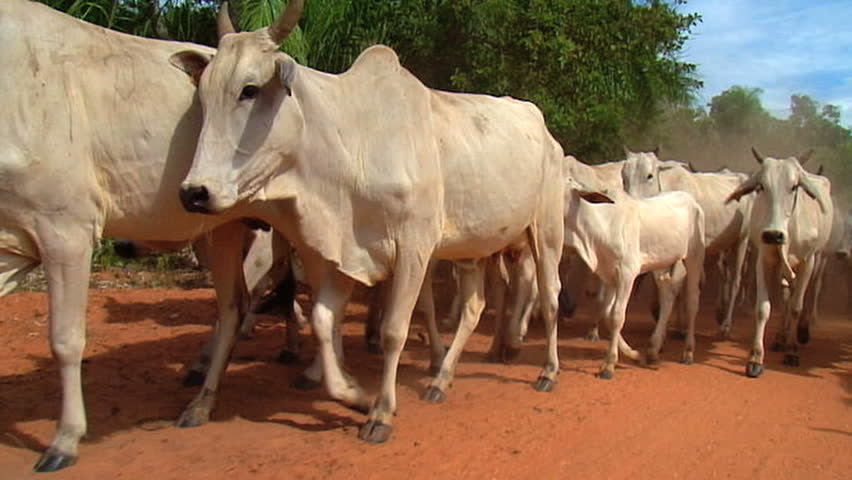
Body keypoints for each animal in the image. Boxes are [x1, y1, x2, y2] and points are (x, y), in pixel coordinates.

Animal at [0, 0, 277, 471]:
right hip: (215, 229)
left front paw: (65, 439)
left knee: (240, 302)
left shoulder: (66, 230)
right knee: (233, 304)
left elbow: (66, 340)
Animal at [168, 0, 565, 444]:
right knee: (474, 306)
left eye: (249, 89)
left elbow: (393, 330)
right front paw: (355, 395)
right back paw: (441, 379)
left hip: (546, 232)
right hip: (474, 249)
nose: (194, 192)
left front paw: (381, 412)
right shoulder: (346, 253)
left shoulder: (413, 249)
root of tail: (547, 133)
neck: (352, 142)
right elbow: (324, 321)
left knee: (550, 296)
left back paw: (548, 372)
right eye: (202, 94)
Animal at [562, 160, 705, 378]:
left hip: (694, 257)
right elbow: (607, 313)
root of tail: (690, 199)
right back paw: (653, 349)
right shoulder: (608, 274)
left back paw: (688, 351)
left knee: (692, 301)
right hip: (660, 264)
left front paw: (609, 365)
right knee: (667, 296)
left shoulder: (627, 274)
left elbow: (617, 316)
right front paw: (634, 354)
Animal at [621, 149, 752, 339]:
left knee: (735, 280)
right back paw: (719, 312)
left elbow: (680, 286)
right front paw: (661, 315)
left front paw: (680, 326)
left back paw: (726, 325)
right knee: (724, 274)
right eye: (623, 176)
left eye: (649, 176)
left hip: (742, 239)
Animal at [725, 148, 832, 377]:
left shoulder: (807, 261)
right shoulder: (764, 259)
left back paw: (799, 332)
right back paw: (780, 337)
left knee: (807, 294)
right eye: (761, 187)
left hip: (818, 258)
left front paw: (792, 351)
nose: (773, 235)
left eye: (794, 187)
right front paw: (756, 358)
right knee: (786, 296)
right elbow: (763, 308)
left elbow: (796, 307)